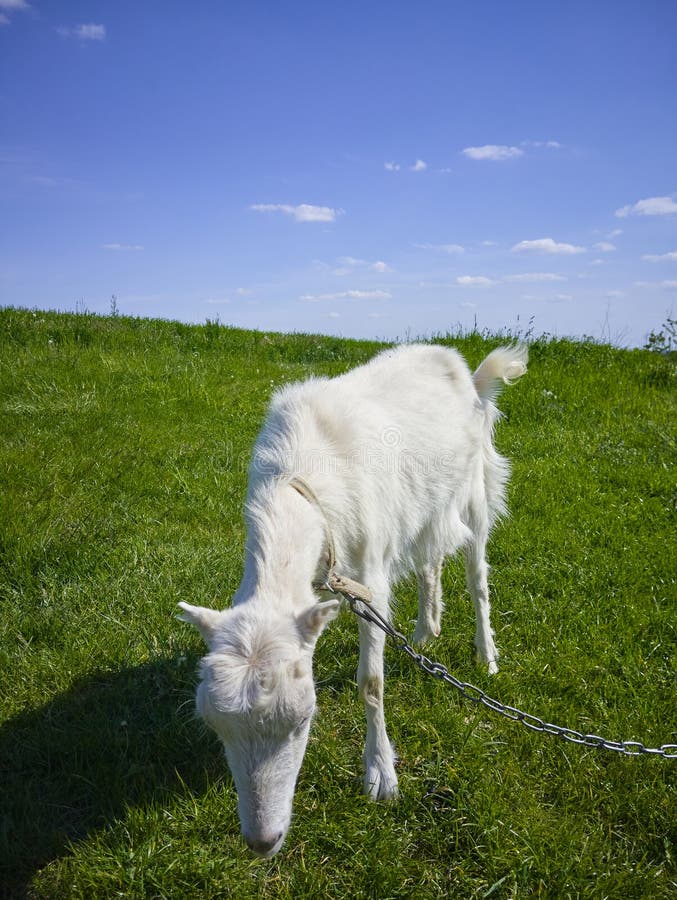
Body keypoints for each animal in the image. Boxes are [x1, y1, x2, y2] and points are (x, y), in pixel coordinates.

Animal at [178, 342, 527, 857]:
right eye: (216, 727)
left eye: (303, 721)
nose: (263, 842)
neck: (299, 476)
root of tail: (471, 375)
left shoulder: (370, 580)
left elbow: (371, 681)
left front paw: (381, 775)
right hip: (423, 506)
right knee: (428, 561)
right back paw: (425, 633)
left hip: (474, 492)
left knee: (477, 577)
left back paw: (486, 656)